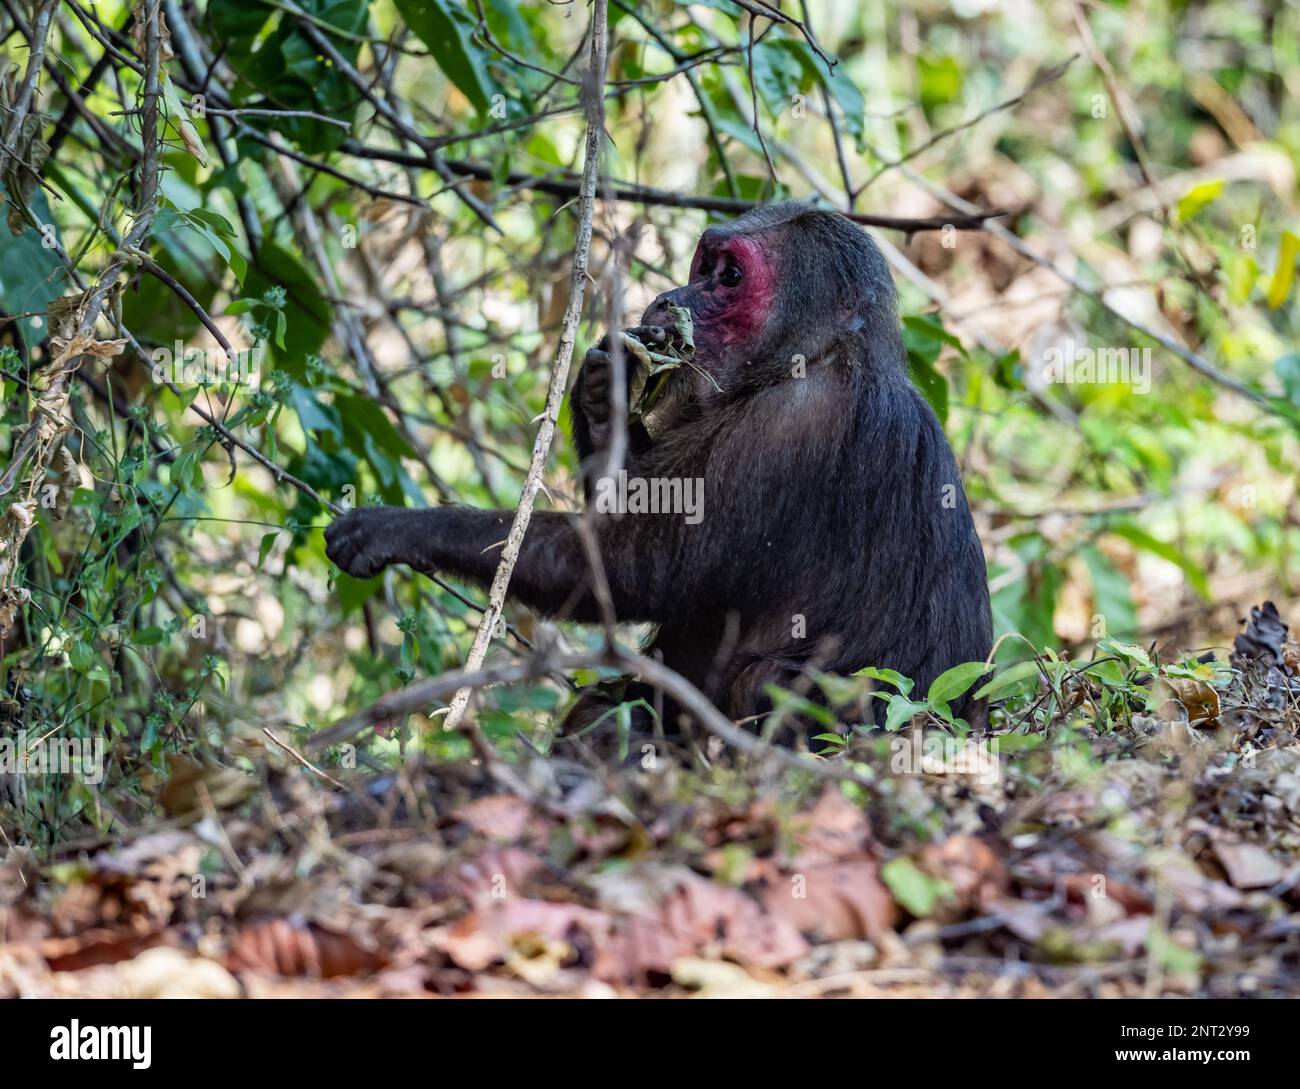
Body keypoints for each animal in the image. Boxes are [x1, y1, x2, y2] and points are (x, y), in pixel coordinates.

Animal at [325, 203, 993, 738]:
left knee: (765, 681)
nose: (674, 297)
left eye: (729, 278)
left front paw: (405, 528)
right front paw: (607, 395)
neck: (812, 357)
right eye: (704, 266)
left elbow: (631, 565)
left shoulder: (793, 422)